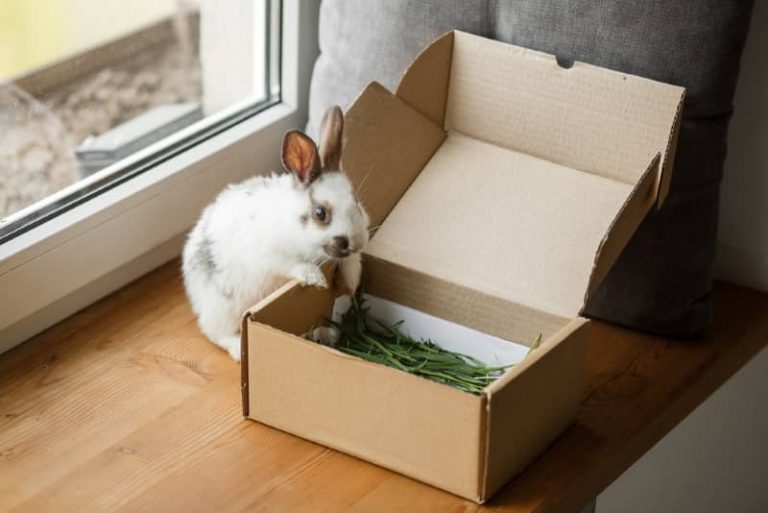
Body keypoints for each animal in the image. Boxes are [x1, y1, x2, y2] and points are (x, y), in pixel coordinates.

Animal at [182, 105, 369, 360]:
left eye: (357, 201)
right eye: (320, 213)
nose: (357, 243)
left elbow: (350, 268)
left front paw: (351, 279)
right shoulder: (271, 256)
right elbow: (293, 264)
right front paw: (316, 279)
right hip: (226, 307)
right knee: (215, 333)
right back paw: (238, 349)